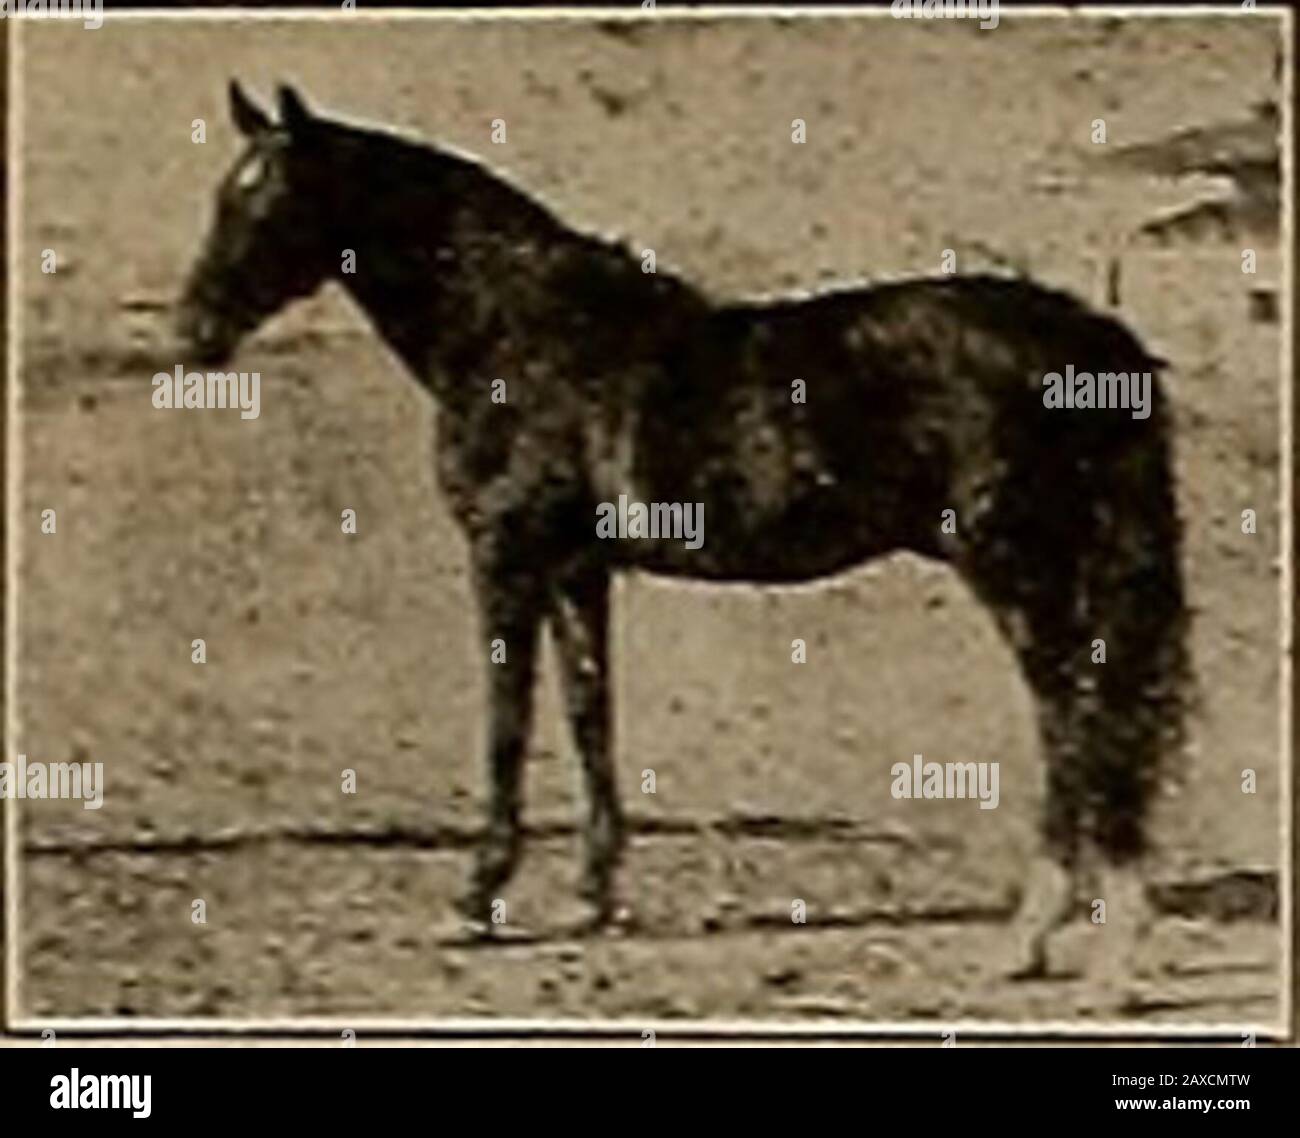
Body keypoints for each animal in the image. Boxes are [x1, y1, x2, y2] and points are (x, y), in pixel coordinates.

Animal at [178, 83, 1190, 982]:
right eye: (222, 196)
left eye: (267, 202)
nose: (192, 335)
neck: (515, 330)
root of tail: (1095, 341)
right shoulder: (575, 570)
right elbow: (589, 714)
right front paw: (593, 896)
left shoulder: (506, 558)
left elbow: (508, 725)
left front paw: (475, 900)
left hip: (1018, 572)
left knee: (1078, 720)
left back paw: (1047, 937)